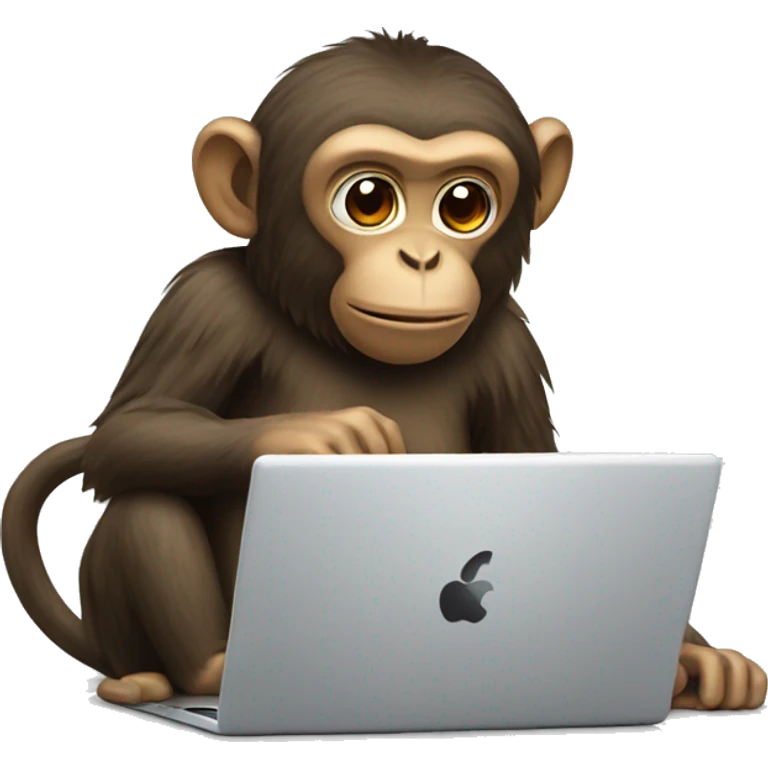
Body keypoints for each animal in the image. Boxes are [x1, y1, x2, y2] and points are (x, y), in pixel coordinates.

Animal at [3, 32, 764, 713]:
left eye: (463, 206)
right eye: (369, 200)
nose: (421, 258)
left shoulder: (513, 349)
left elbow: (525, 457)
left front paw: (698, 659)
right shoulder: (203, 303)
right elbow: (126, 432)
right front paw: (325, 437)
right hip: (130, 636)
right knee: (147, 500)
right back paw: (185, 675)